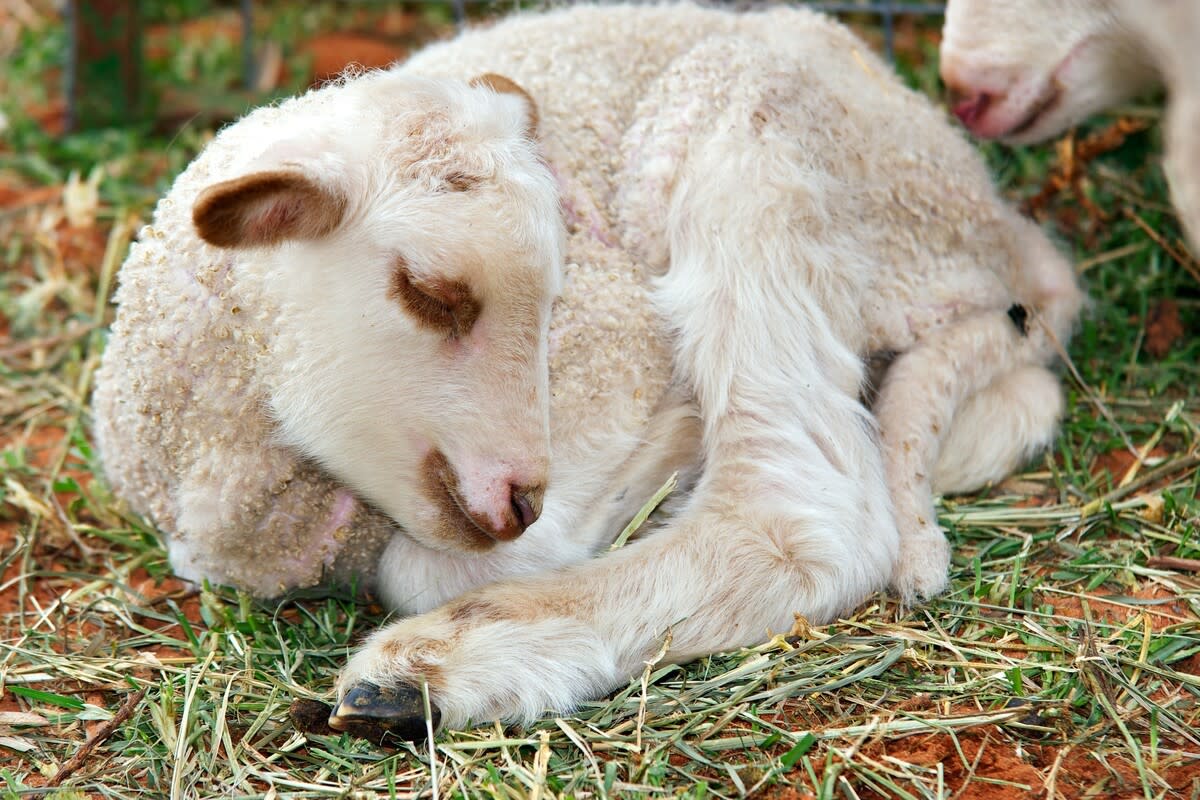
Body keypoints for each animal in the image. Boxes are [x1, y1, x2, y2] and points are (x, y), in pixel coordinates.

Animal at [92, 2, 1083, 736]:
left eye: (558, 287)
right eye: (431, 292)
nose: (522, 498)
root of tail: (993, 216)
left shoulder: (613, 350)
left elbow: (428, 565)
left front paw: (660, 452)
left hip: (754, 143)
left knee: (803, 509)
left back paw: (433, 674)